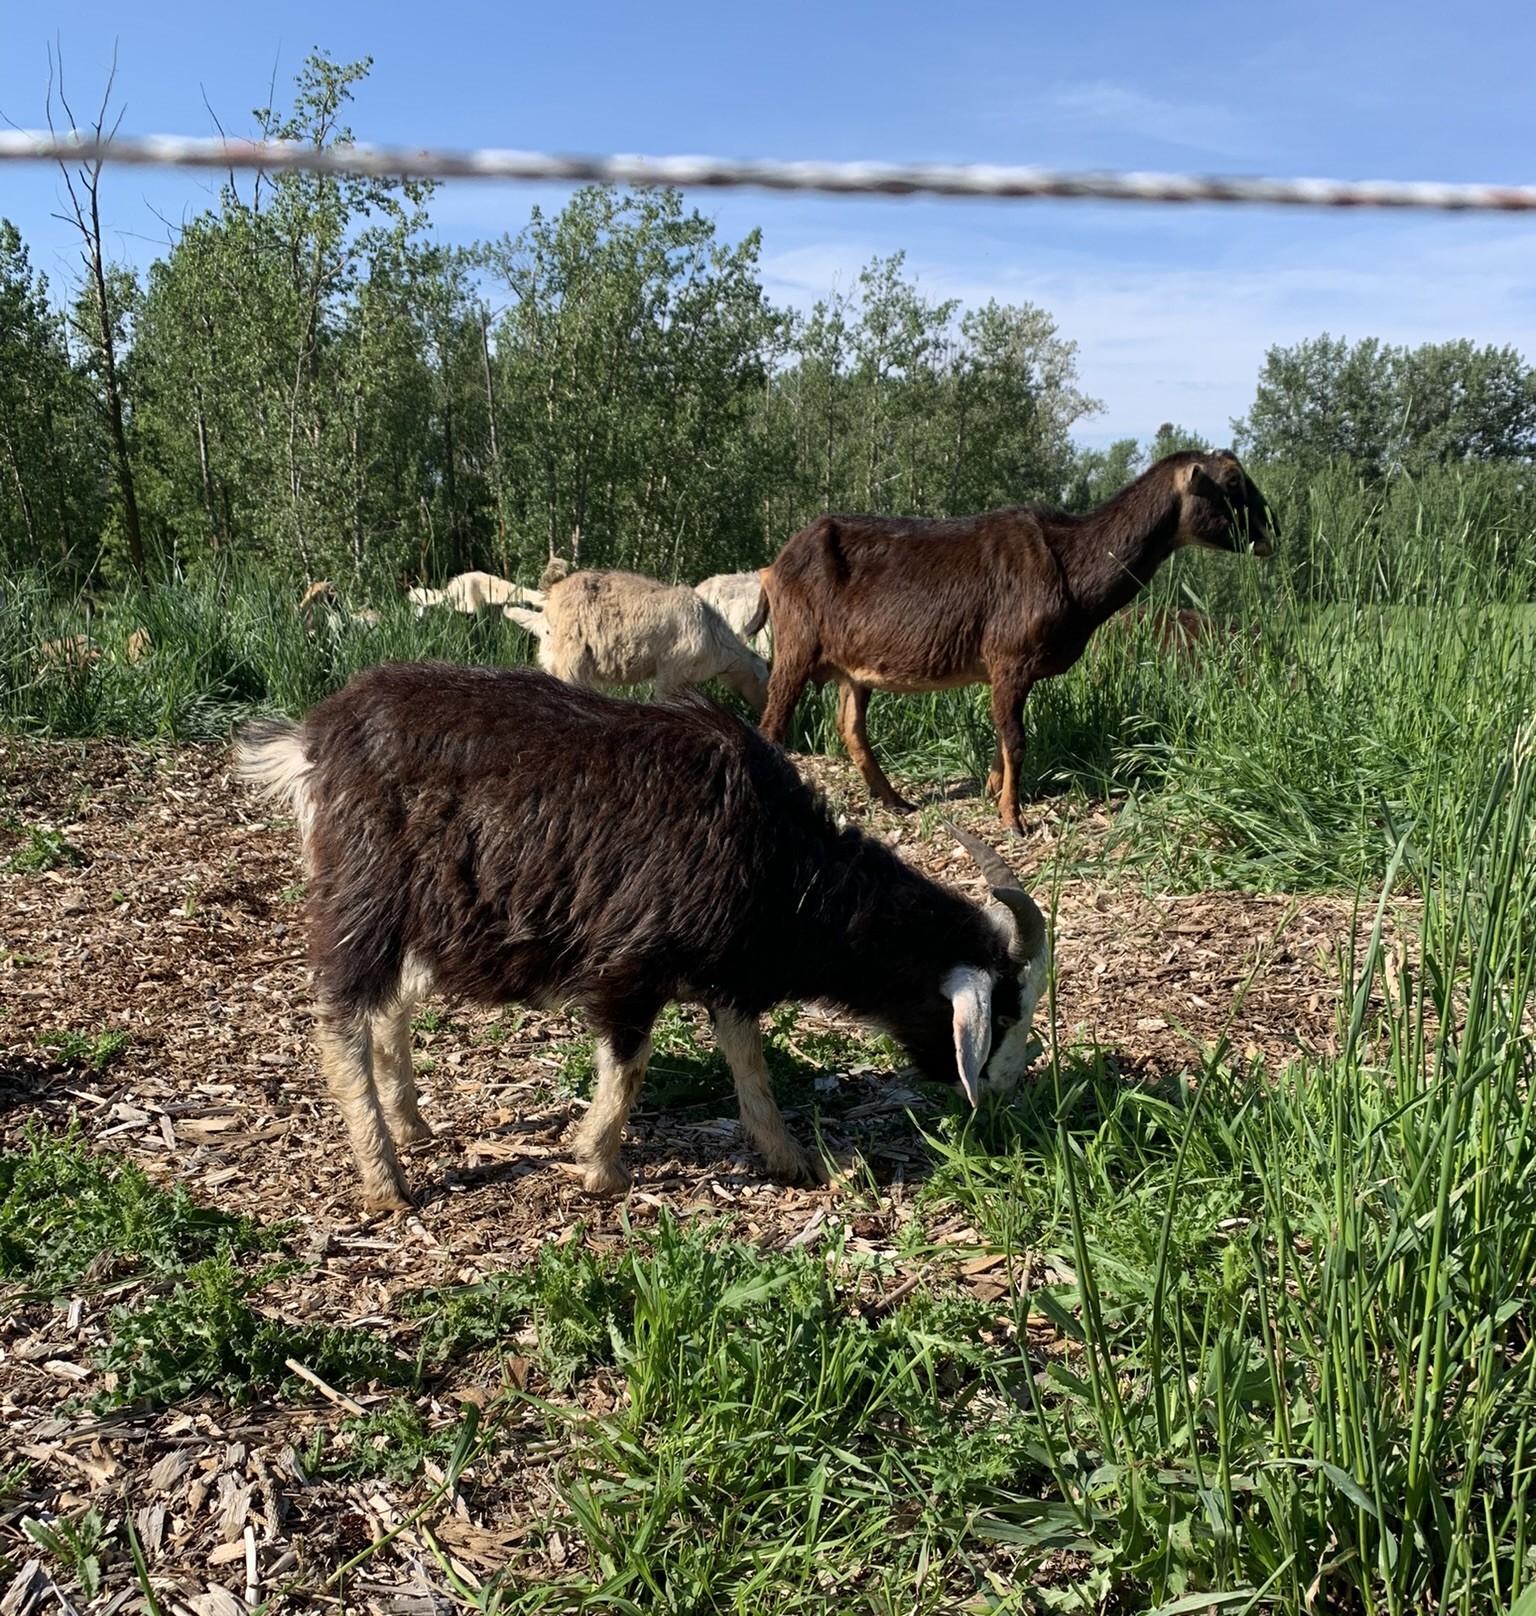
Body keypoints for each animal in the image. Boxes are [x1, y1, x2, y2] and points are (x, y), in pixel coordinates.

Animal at [235, 663, 1049, 1210]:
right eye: (1003, 1013)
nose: (1006, 1094)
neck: (783, 863)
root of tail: (315, 738)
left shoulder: (730, 971)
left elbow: (748, 1061)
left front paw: (792, 1158)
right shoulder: (629, 964)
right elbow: (628, 1065)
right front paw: (601, 1167)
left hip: (428, 913)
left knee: (392, 1005)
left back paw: (411, 1124)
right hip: (365, 890)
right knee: (340, 1013)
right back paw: (386, 1178)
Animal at [752, 450, 1274, 832]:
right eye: (1232, 483)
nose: (1271, 533)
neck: (1070, 560)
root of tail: (776, 565)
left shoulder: (1004, 672)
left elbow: (1003, 735)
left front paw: (992, 790)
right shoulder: (1010, 659)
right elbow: (1017, 740)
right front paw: (1013, 819)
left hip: (852, 669)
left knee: (851, 729)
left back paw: (897, 802)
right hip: (797, 644)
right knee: (774, 722)